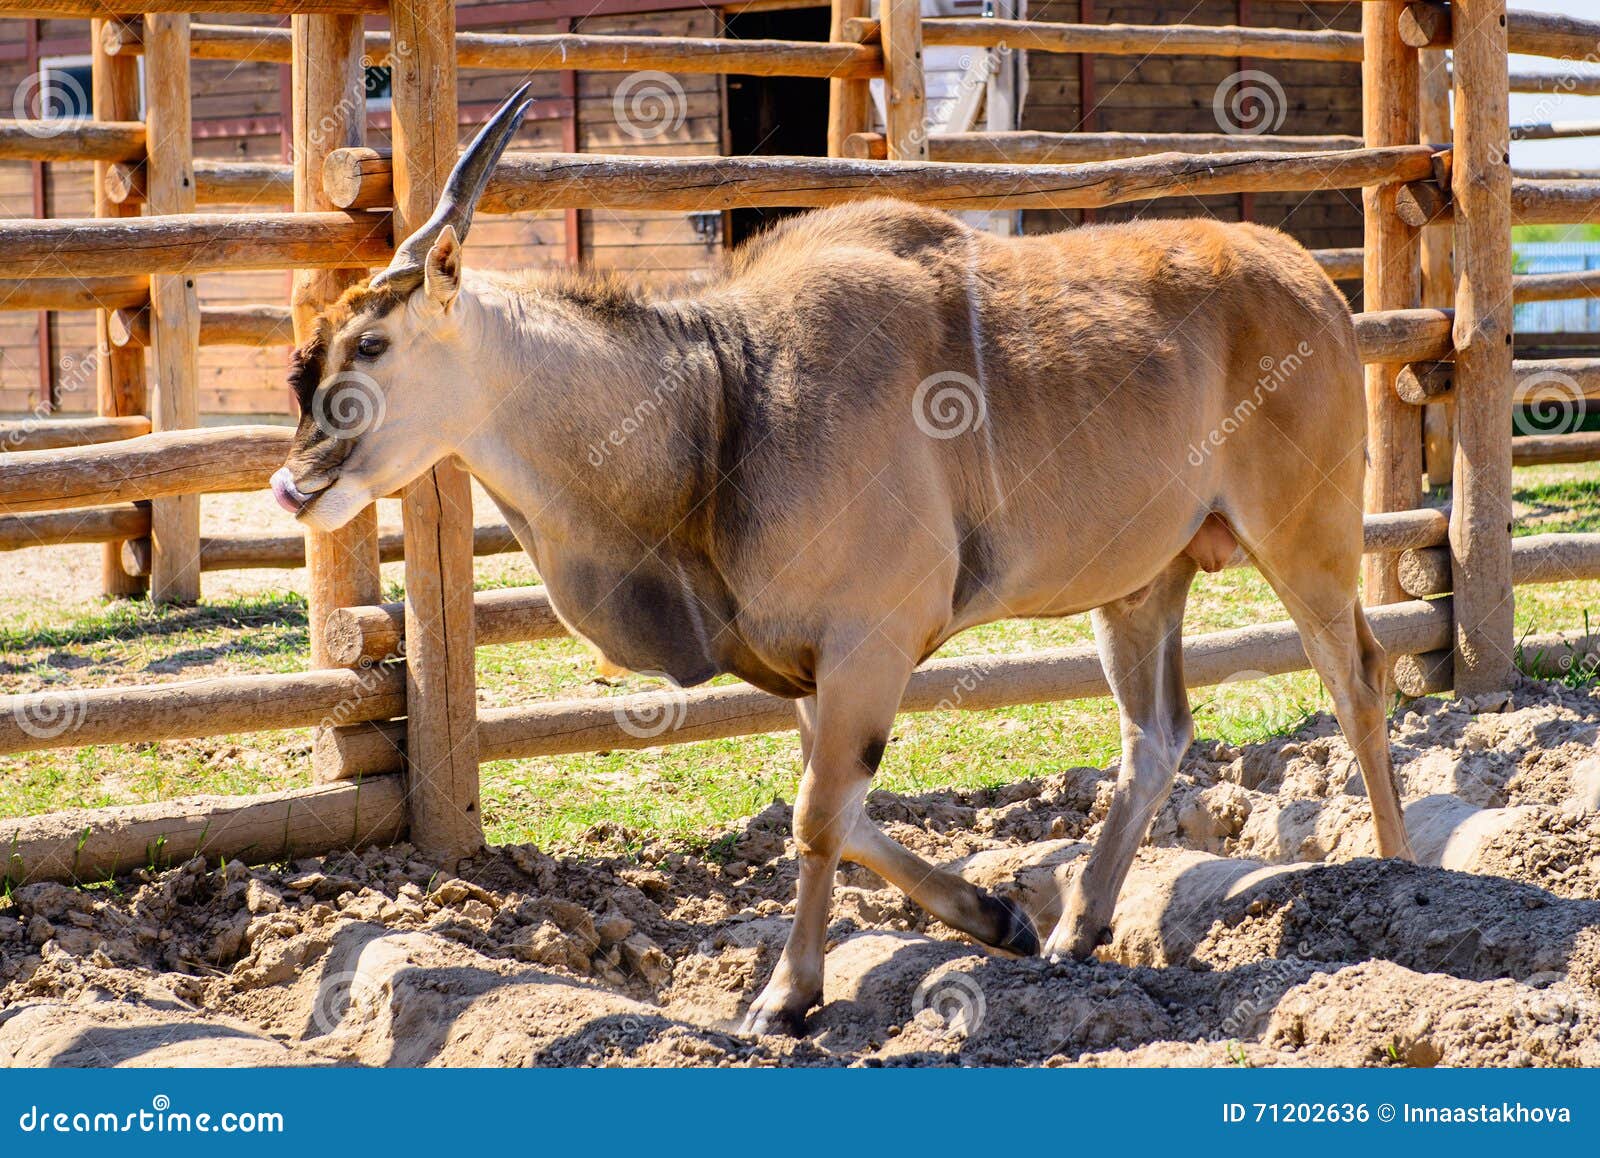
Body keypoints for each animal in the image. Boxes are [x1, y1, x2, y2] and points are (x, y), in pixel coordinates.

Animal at [273, 89, 1416, 1036]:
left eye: (371, 346)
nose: (293, 486)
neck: (725, 392)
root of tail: (1311, 280)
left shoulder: (872, 640)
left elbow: (820, 818)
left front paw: (785, 997)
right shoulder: (810, 670)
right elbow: (839, 813)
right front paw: (996, 915)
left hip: (1302, 537)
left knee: (1358, 677)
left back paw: (1402, 883)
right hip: (1143, 584)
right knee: (1158, 734)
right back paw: (1076, 928)